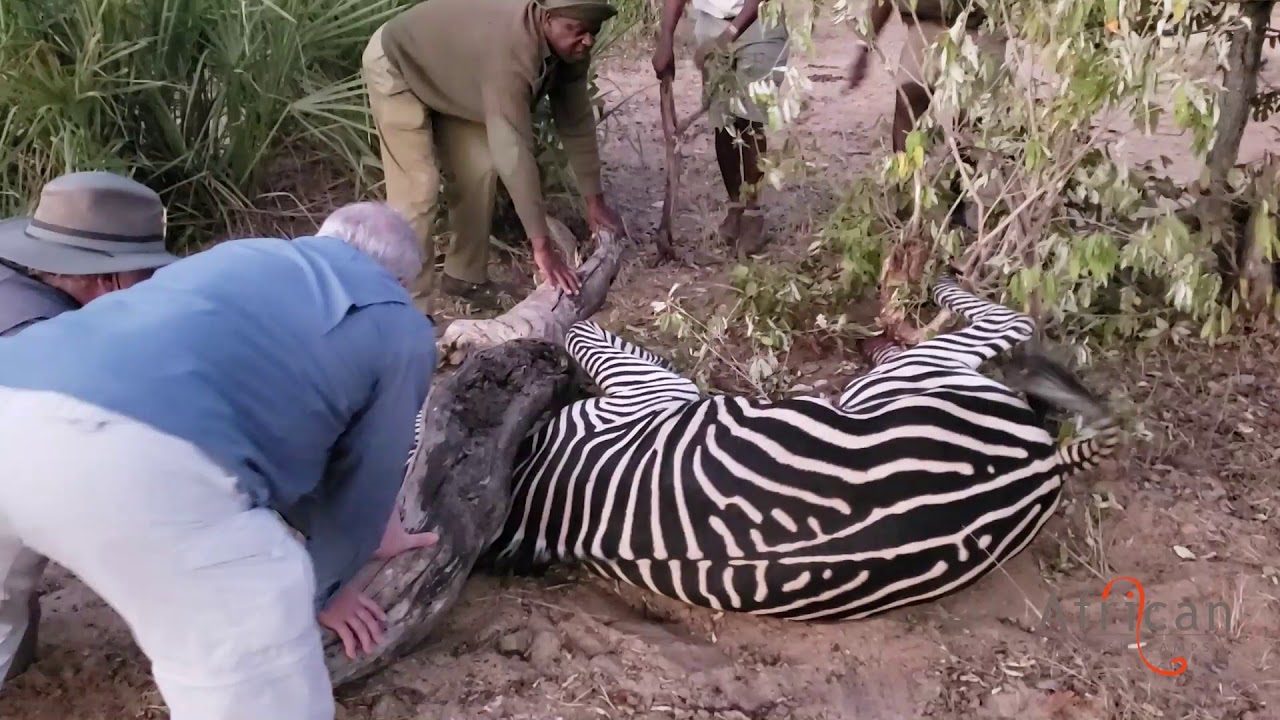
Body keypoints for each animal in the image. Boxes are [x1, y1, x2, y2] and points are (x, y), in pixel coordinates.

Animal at [464, 273, 1122, 621]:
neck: (535, 500)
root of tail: (1041, 464)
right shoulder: (648, 395)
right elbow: (576, 328)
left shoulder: (646, 396)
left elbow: (576, 328)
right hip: (903, 380)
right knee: (1012, 326)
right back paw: (933, 295)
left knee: (1013, 330)